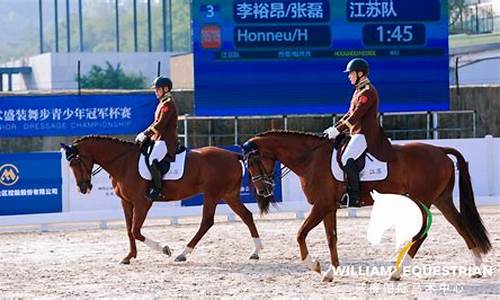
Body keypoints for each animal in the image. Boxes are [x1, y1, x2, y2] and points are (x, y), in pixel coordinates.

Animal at [61, 136, 262, 264]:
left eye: (76, 162)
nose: (83, 188)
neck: (123, 162)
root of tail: (233, 155)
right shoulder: (126, 202)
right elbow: (129, 230)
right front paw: (129, 256)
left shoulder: (142, 202)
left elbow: (135, 230)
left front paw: (164, 249)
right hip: (229, 195)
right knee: (247, 216)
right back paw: (256, 251)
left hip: (212, 194)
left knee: (207, 222)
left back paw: (182, 253)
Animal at [243, 131, 492, 282]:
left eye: (254, 161)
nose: (263, 191)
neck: (310, 158)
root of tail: (440, 151)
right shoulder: (329, 207)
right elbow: (331, 238)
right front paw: (331, 271)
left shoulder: (321, 206)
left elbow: (300, 234)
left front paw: (314, 265)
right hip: (442, 199)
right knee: (461, 226)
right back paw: (478, 267)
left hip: (423, 200)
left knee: (423, 233)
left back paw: (398, 271)